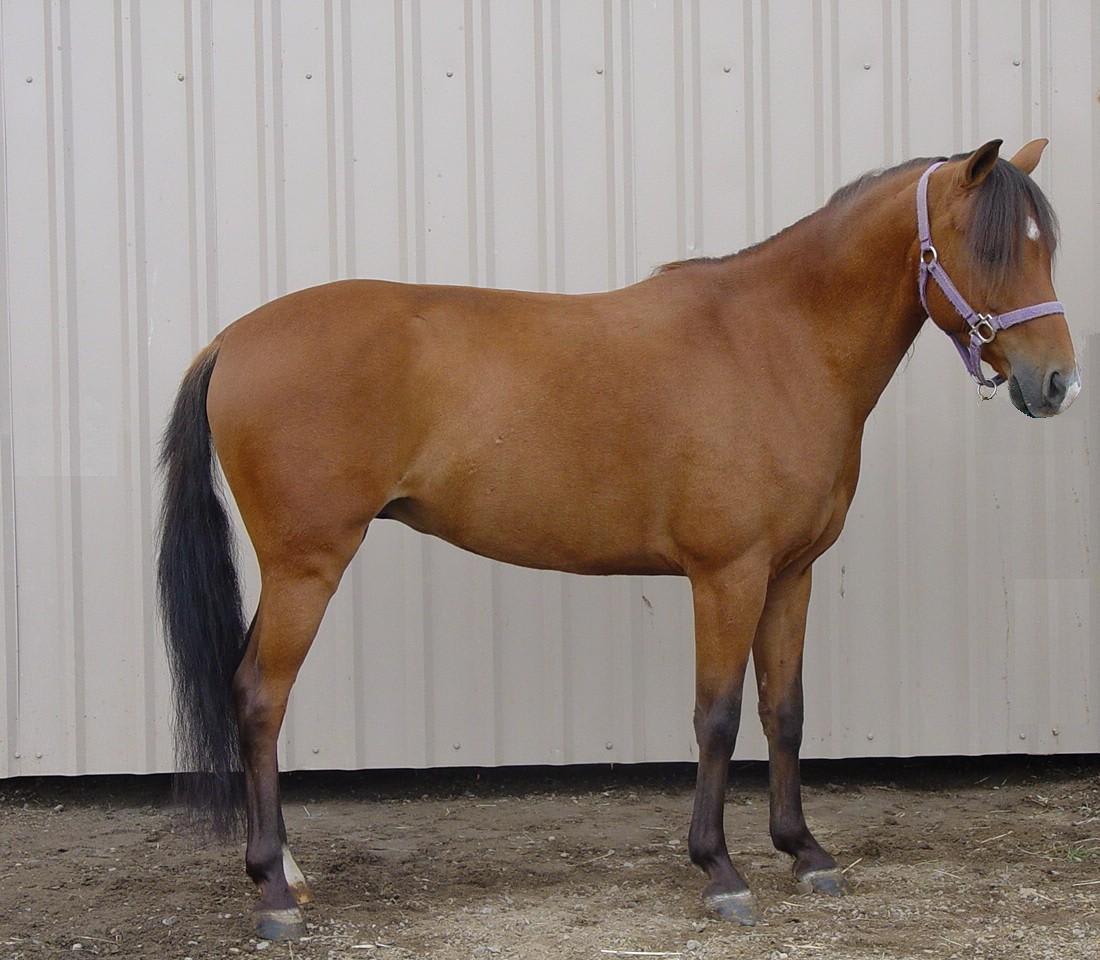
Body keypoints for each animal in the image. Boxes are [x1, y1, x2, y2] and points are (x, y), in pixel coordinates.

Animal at [156, 138, 1079, 939]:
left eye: (1046, 247)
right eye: (990, 247)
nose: (1058, 382)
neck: (776, 342)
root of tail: (233, 338)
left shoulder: (793, 574)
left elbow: (784, 712)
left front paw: (804, 853)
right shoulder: (727, 575)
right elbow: (718, 717)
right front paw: (719, 871)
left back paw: (290, 873)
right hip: (306, 567)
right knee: (259, 697)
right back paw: (273, 891)